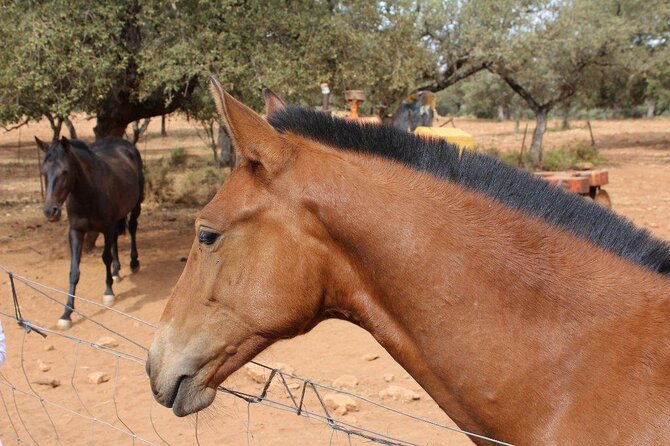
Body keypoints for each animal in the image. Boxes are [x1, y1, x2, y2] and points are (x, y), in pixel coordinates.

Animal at [36, 136, 144, 330]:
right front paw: (66, 313)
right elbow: (74, 271)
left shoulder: (106, 227)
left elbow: (105, 258)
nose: (50, 211)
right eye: (43, 172)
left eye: (65, 171)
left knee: (132, 228)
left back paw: (133, 263)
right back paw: (116, 272)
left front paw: (108, 293)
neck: (88, 193)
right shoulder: (76, 232)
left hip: (135, 205)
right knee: (116, 239)